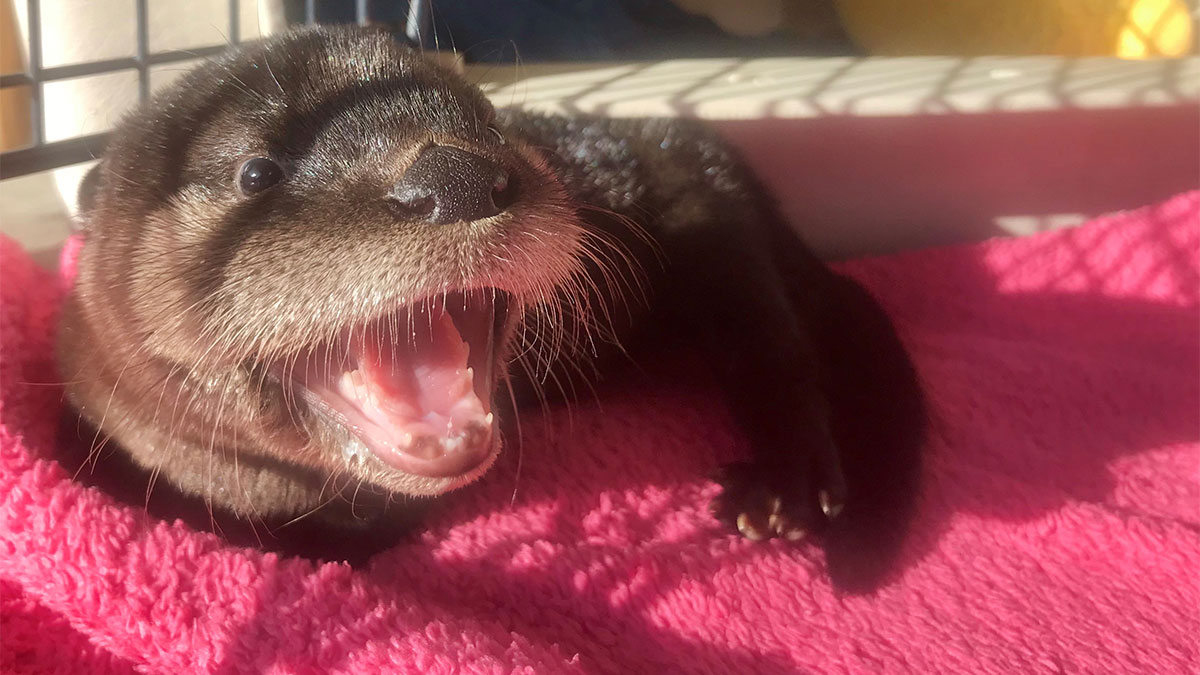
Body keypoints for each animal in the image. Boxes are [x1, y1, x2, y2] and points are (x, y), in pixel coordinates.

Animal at [58, 25, 924, 574]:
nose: (457, 173)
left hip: (714, 214)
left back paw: (783, 485)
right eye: (257, 172)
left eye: (486, 122)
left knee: (777, 347)